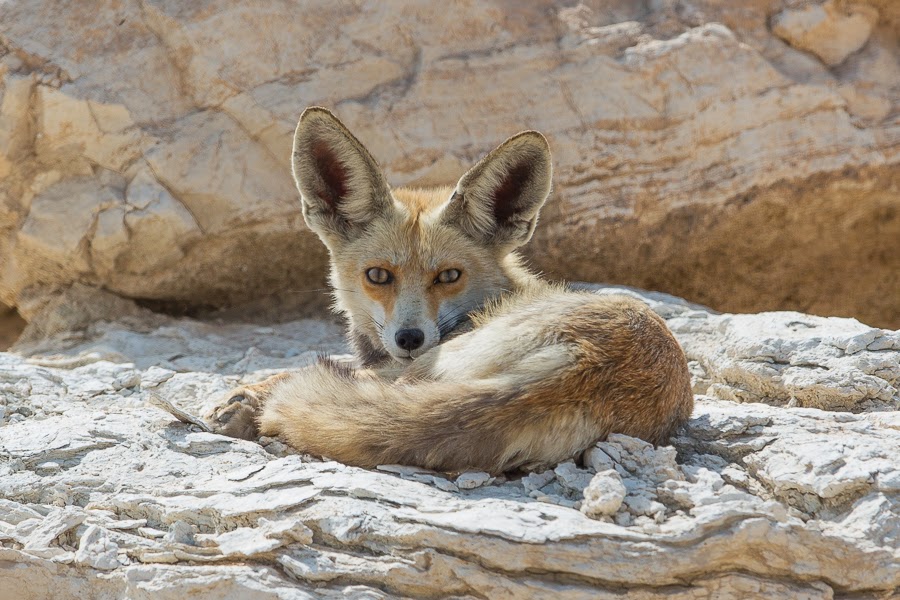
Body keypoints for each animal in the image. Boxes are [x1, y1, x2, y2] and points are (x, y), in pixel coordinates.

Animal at [208, 107, 693, 474]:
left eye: (448, 276)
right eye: (378, 276)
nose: (409, 338)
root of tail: (579, 365)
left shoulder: (398, 366)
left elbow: (310, 373)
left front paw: (245, 398)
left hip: (426, 370)